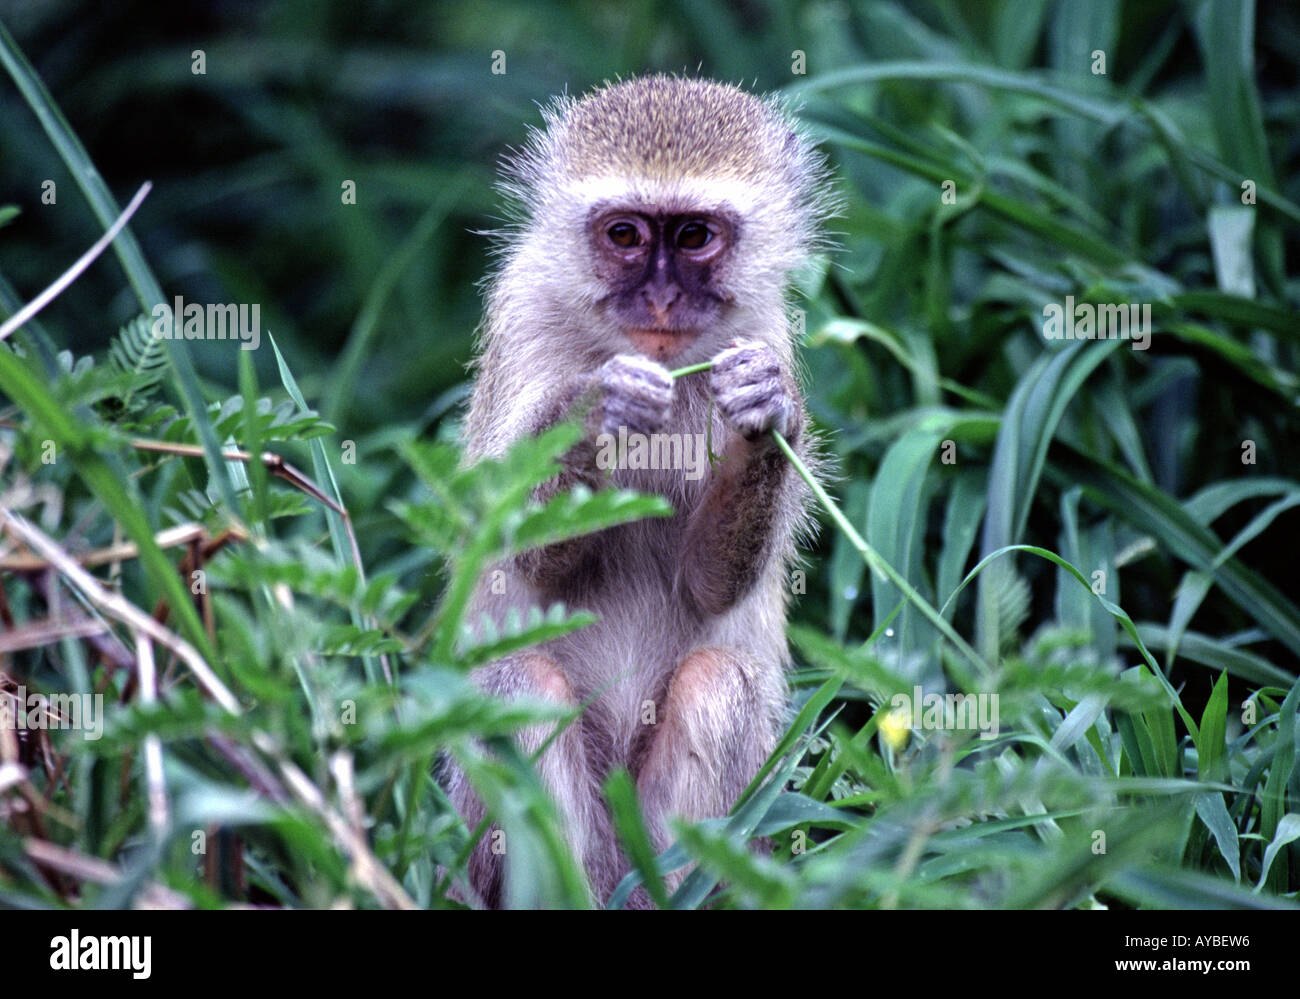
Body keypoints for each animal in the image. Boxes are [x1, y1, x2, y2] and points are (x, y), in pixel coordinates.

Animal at [445, 74, 833, 908]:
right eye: (625, 235)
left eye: (692, 238)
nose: (658, 300)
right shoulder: (523, 319)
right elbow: (522, 556)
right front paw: (600, 407)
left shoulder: (768, 330)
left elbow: (710, 586)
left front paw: (760, 417)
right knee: (521, 685)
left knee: (715, 684)